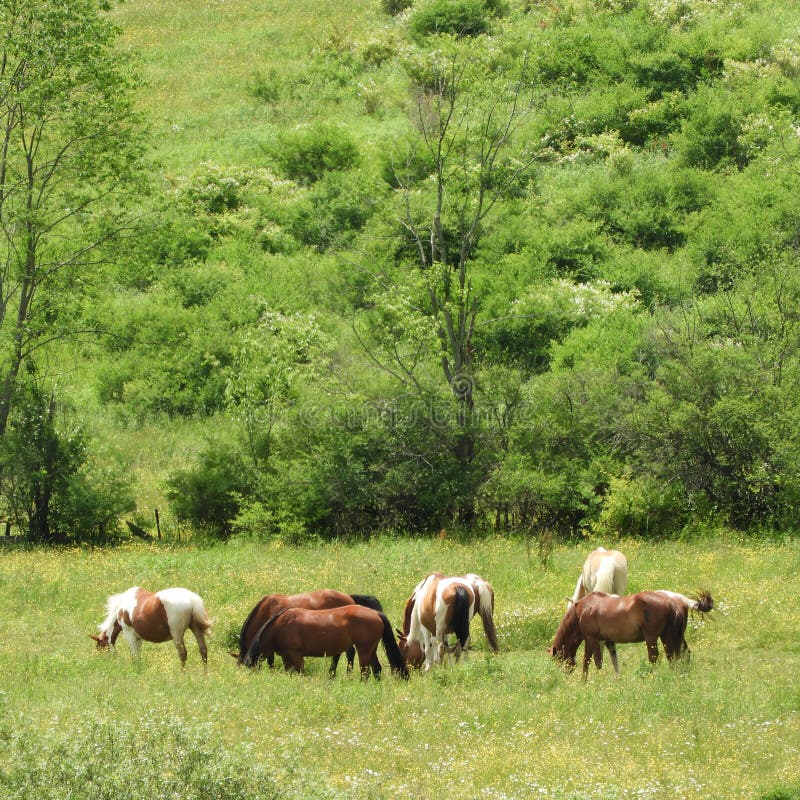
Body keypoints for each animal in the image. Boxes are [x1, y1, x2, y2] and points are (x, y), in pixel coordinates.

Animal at [241, 605, 409, 680]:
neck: (280, 625)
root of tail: (375, 613)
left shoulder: (296, 655)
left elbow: (300, 672)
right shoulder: (286, 657)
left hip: (364, 649)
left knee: (365, 671)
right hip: (371, 649)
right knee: (377, 669)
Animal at [549, 589, 713, 676]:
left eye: (558, 660)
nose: (565, 675)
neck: (582, 610)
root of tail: (672, 601)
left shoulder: (591, 639)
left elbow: (591, 661)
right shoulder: (608, 642)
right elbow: (614, 662)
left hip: (652, 637)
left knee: (655, 657)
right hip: (669, 636)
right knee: (675, 655)